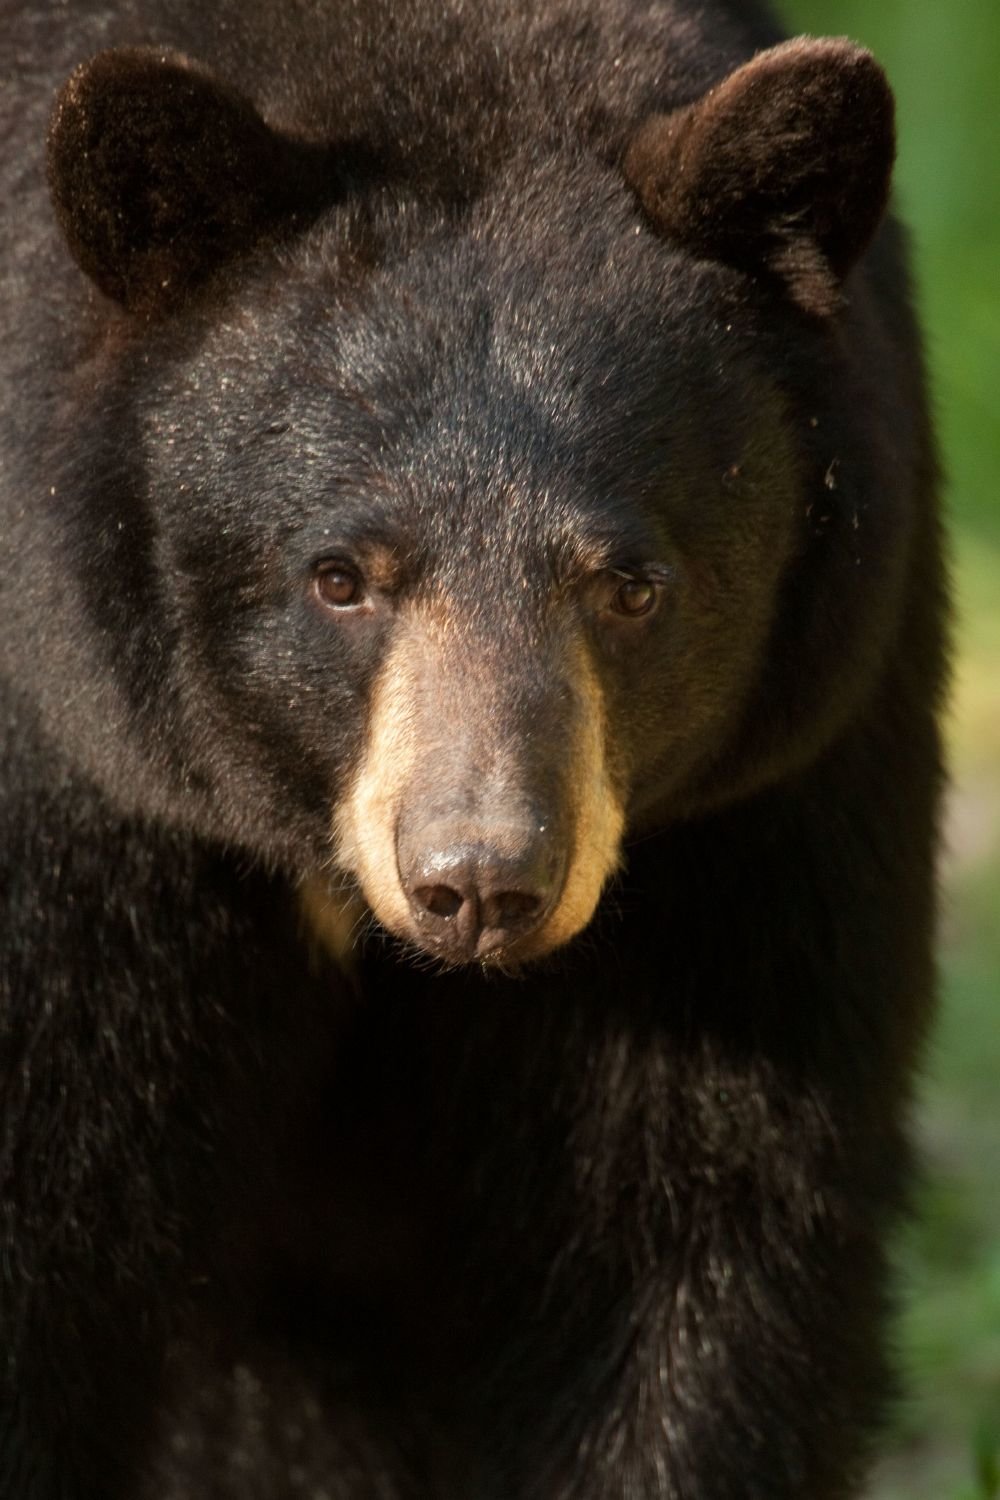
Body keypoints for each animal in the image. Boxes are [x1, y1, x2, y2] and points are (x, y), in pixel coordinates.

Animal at [0, 0, 946, 1496]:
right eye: (339, 576)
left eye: (632, 586)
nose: (482, 881)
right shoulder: (82, 783)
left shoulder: (752, 820)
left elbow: (696, 1240)